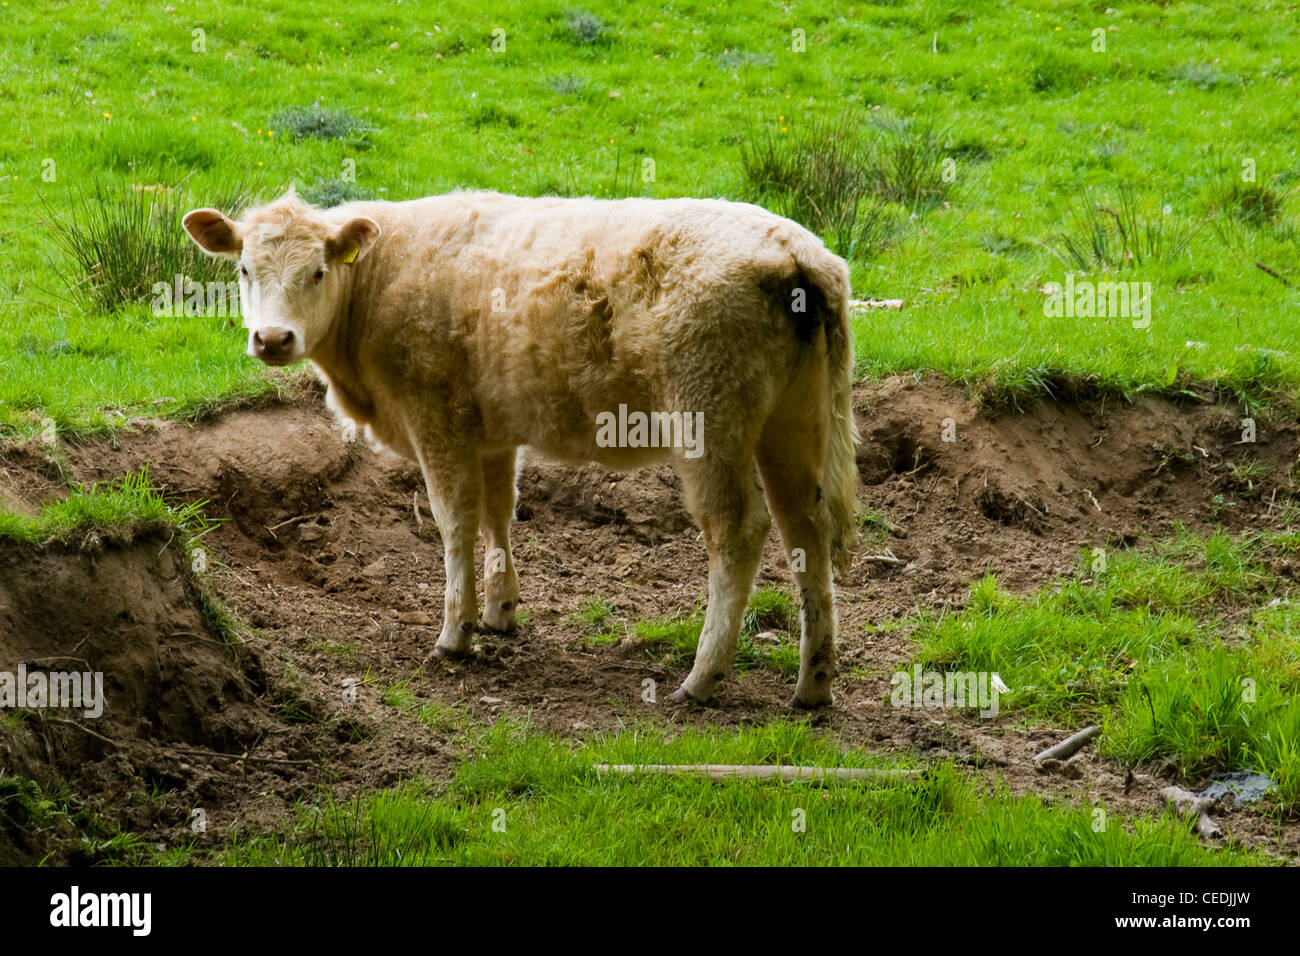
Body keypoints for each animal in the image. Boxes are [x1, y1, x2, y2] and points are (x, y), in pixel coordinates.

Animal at [183, 189, 859, 706]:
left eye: (318, 272)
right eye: (244, 269)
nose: (273, 338)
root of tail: (795, 247)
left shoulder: (436, 417)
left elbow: (454, 518)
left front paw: (455, 632)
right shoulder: (491, 433)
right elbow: (497, 511)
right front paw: (500, 610)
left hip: (709, 421)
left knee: (738, 531)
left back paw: (702, 677)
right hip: (792, 426)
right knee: (806, 530)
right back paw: (813, 683)